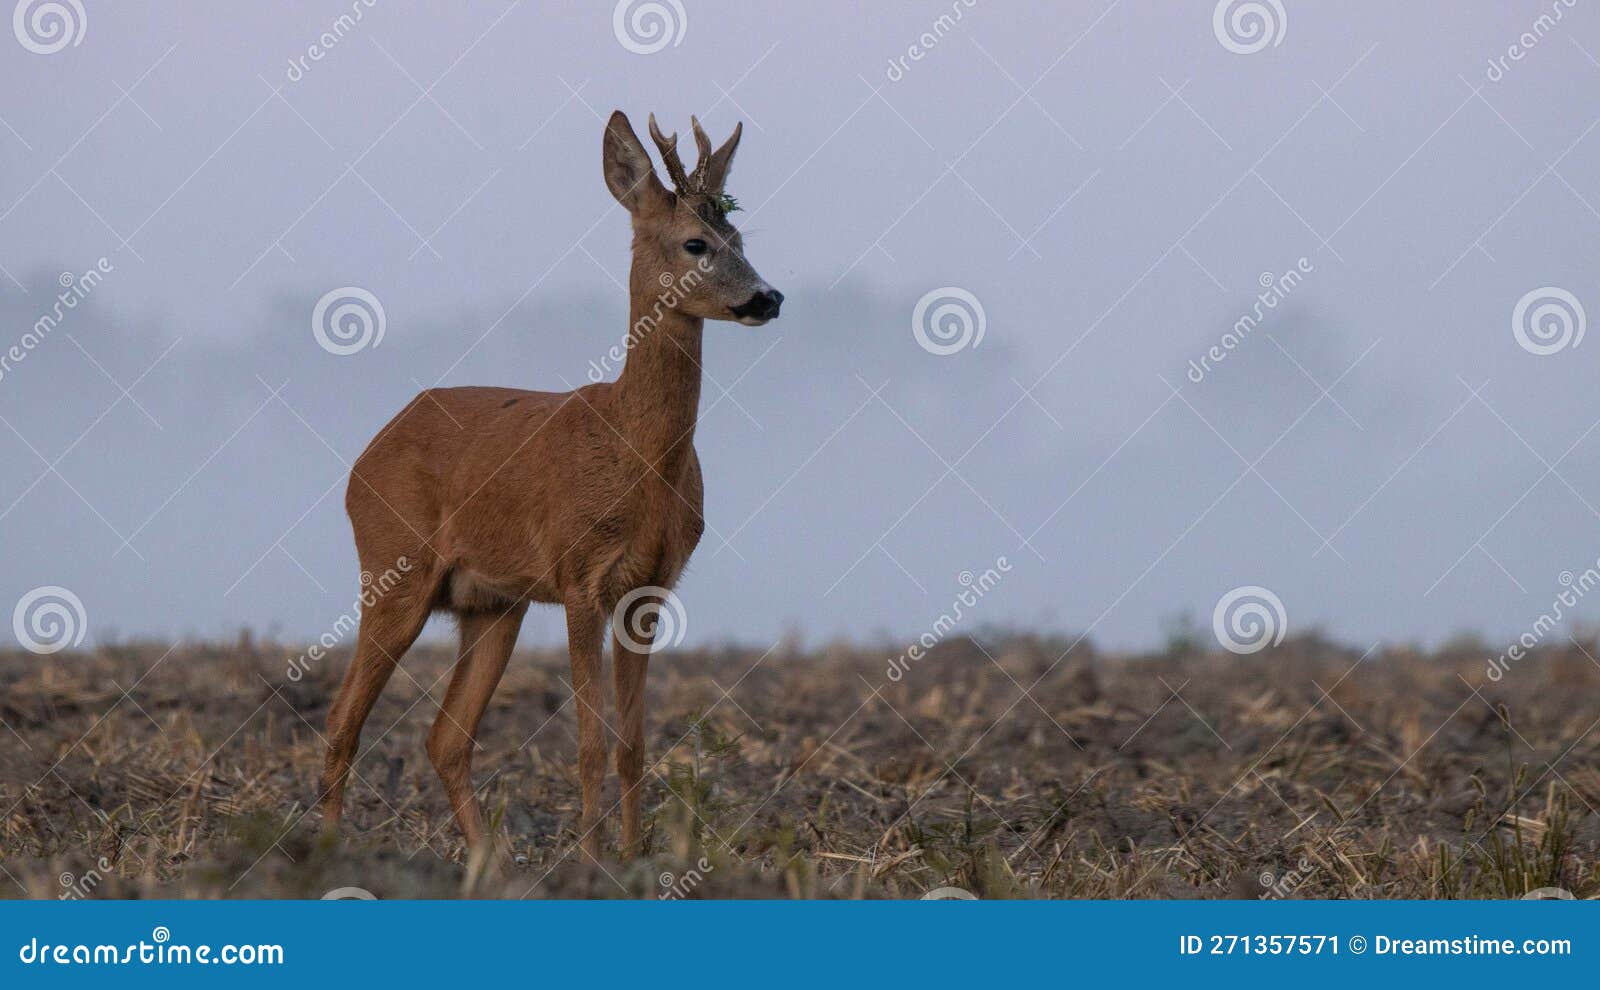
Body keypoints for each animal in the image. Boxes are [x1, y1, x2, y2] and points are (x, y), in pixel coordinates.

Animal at [318, 110, 782, 863]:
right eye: (696, 242)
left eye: (740, 239)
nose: (768, 297)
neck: (639, 456)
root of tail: (363, 459)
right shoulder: (577, 576)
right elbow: (589, 746)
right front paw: (591, 864)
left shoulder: (649, 590)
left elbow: (632, 747)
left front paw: (631, 856)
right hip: (394, 566)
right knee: (342, 718)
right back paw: (328, 852)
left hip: (492, 604)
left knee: (446, 738)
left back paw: (489, 861)